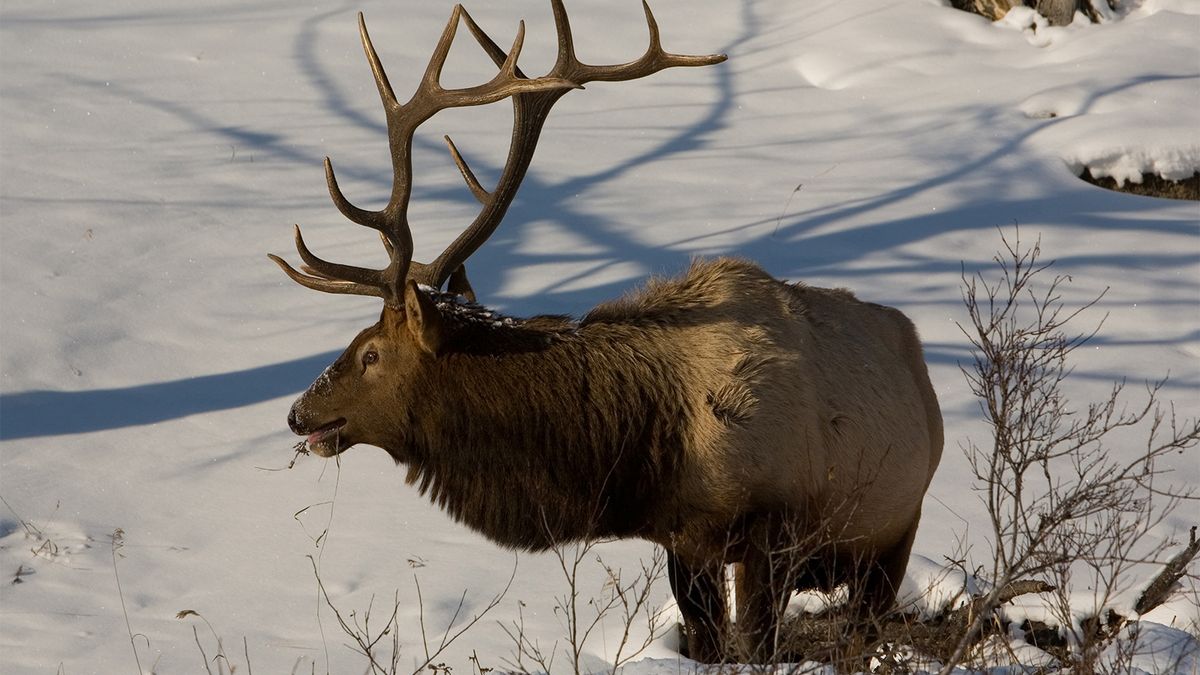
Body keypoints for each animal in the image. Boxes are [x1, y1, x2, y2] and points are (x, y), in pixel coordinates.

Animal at [269, 0, 943, 663]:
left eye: (370, 353)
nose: (299, 414)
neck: (649, 446)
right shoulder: (682, 539)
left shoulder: (768, 530)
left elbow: (753, 646)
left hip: (895, 531)